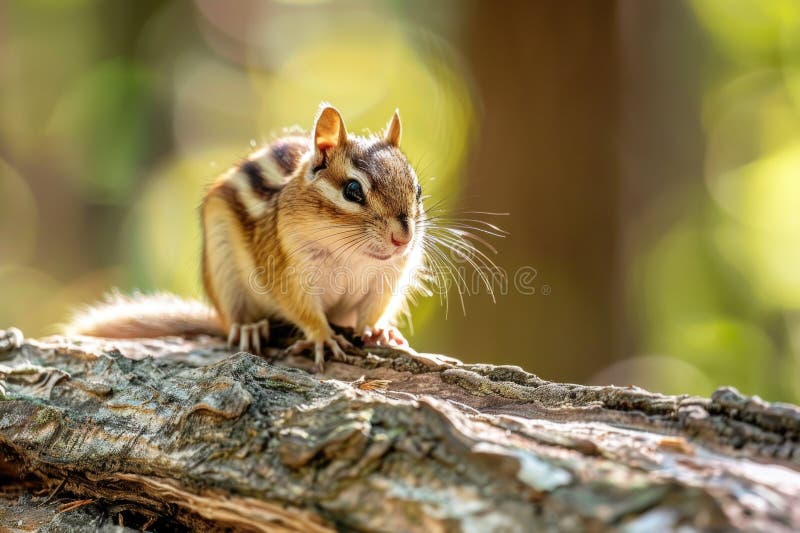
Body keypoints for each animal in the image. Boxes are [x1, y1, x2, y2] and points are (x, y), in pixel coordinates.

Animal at [66, 104, 426, 370]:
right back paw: (248, 327)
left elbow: (373, 311)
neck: (351, 254)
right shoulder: (284, 267)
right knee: (232, 320)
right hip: (223, 268)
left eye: (418, 190)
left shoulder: (386, 279)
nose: (402, 238)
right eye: (352, 190)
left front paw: (379, 330)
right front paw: (323, 337)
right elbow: (301, 309)